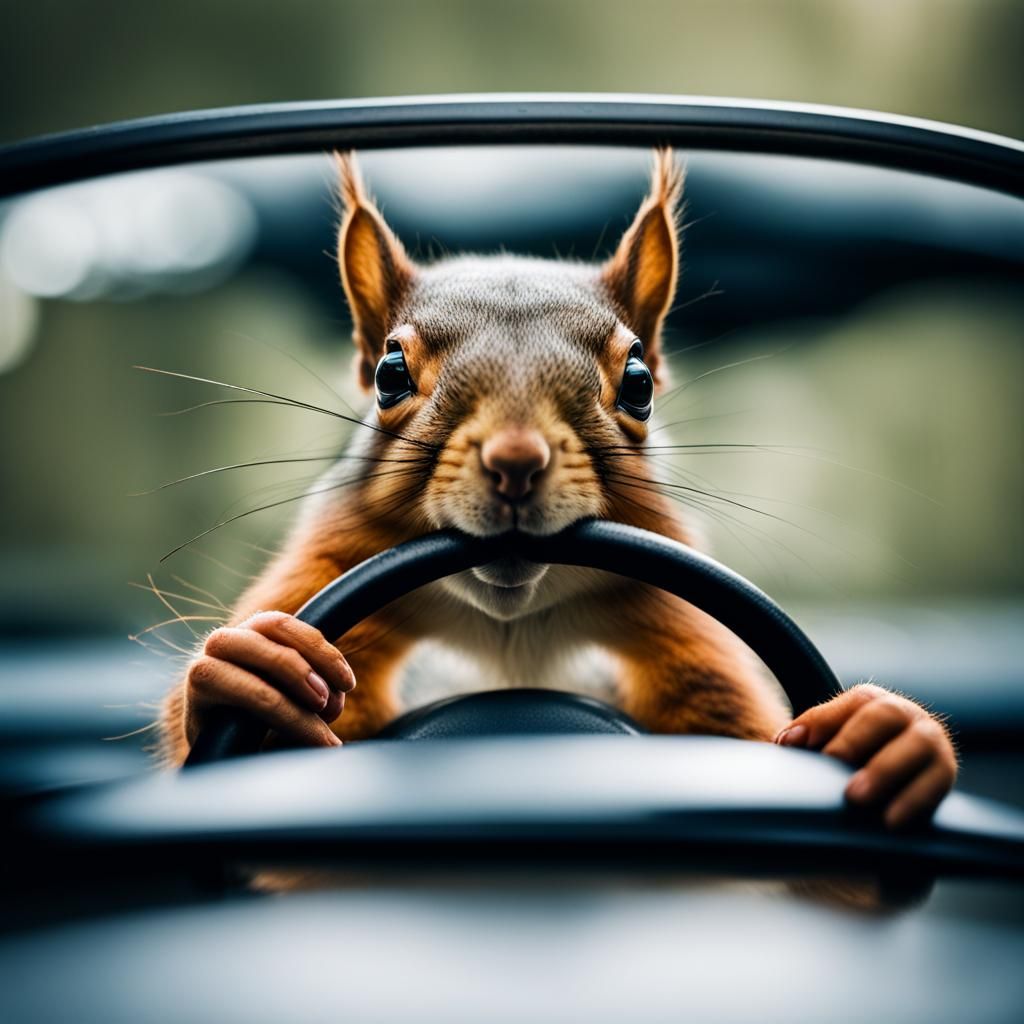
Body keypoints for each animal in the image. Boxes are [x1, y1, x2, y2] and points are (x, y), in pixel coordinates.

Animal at [158, 149, 957, 830]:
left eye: (639, 383)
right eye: (388, 374)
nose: (516, 460)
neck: (510, 633)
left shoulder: (687, 640)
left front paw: (887, 733)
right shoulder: (327, 570)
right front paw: (251, 670)